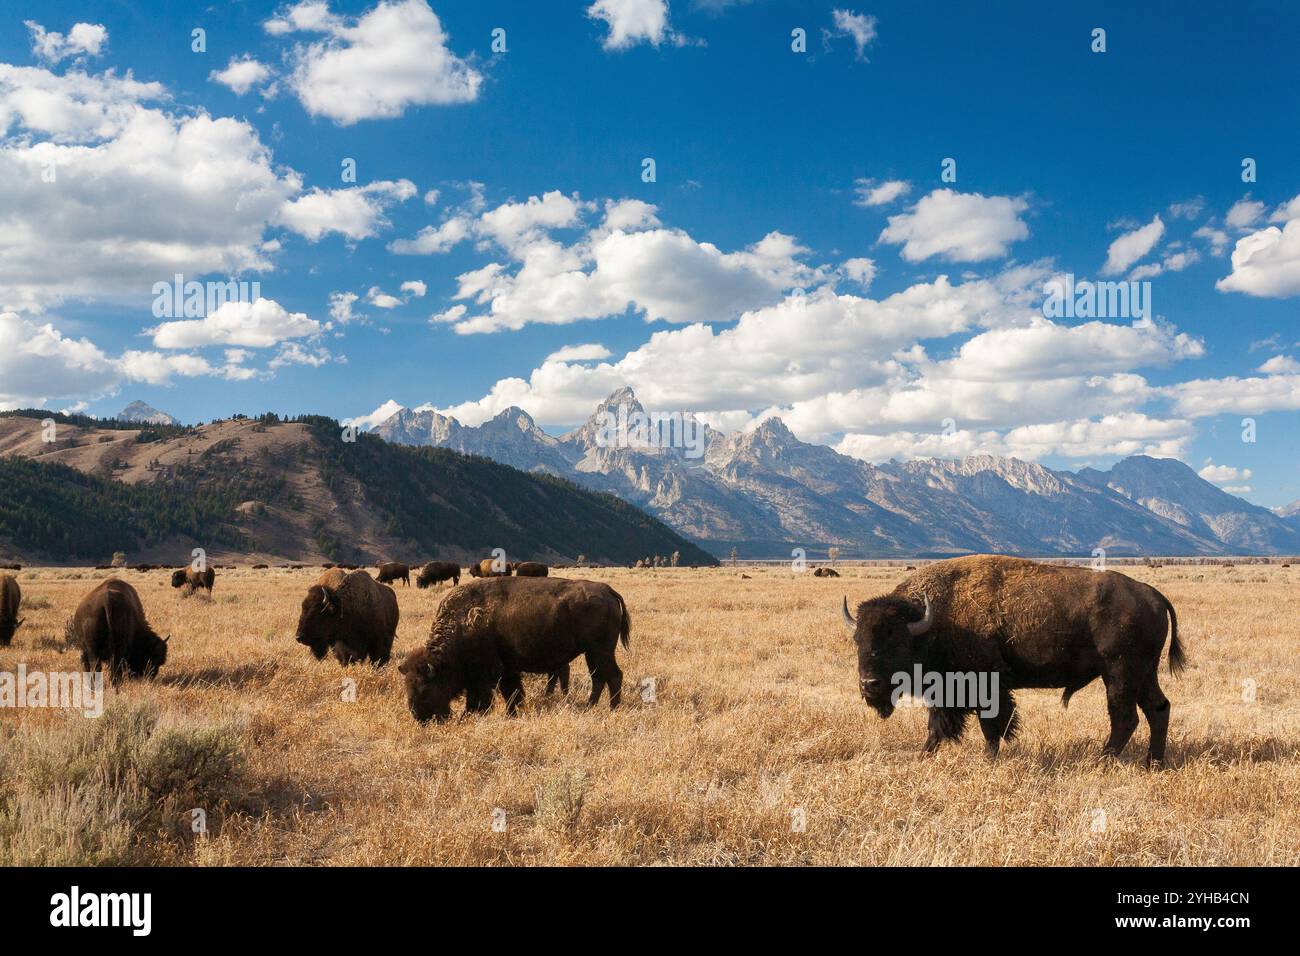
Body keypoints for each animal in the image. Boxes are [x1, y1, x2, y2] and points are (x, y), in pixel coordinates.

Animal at [399, 576, 630, 722]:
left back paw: (612, 709)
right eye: (407, 686)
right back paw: (590, 707)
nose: (420, 717)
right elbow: (511, 692)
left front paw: (471, 715)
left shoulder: (486, 672)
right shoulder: (507, 669)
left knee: (613, 676)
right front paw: (511, 714)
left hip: (600, 650)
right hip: (593, 653)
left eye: (425, 687)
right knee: (599, 677)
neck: (463, 623)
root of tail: (607, 590)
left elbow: (487, 696)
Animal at [842, 555, 1184, 765]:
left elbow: (990, 724)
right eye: (858, 640)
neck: (933, 620)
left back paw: (1102, 761)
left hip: (1119, 673)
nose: (869, 685)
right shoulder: (950, 691)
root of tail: (1153, 595)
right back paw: (1153, 763)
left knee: (1125, 717)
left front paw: (988, 759)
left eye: (897, 642)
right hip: (1143, 673)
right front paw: (924, 757)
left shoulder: (983, 686)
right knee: (1157, 708)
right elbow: (940, 726)